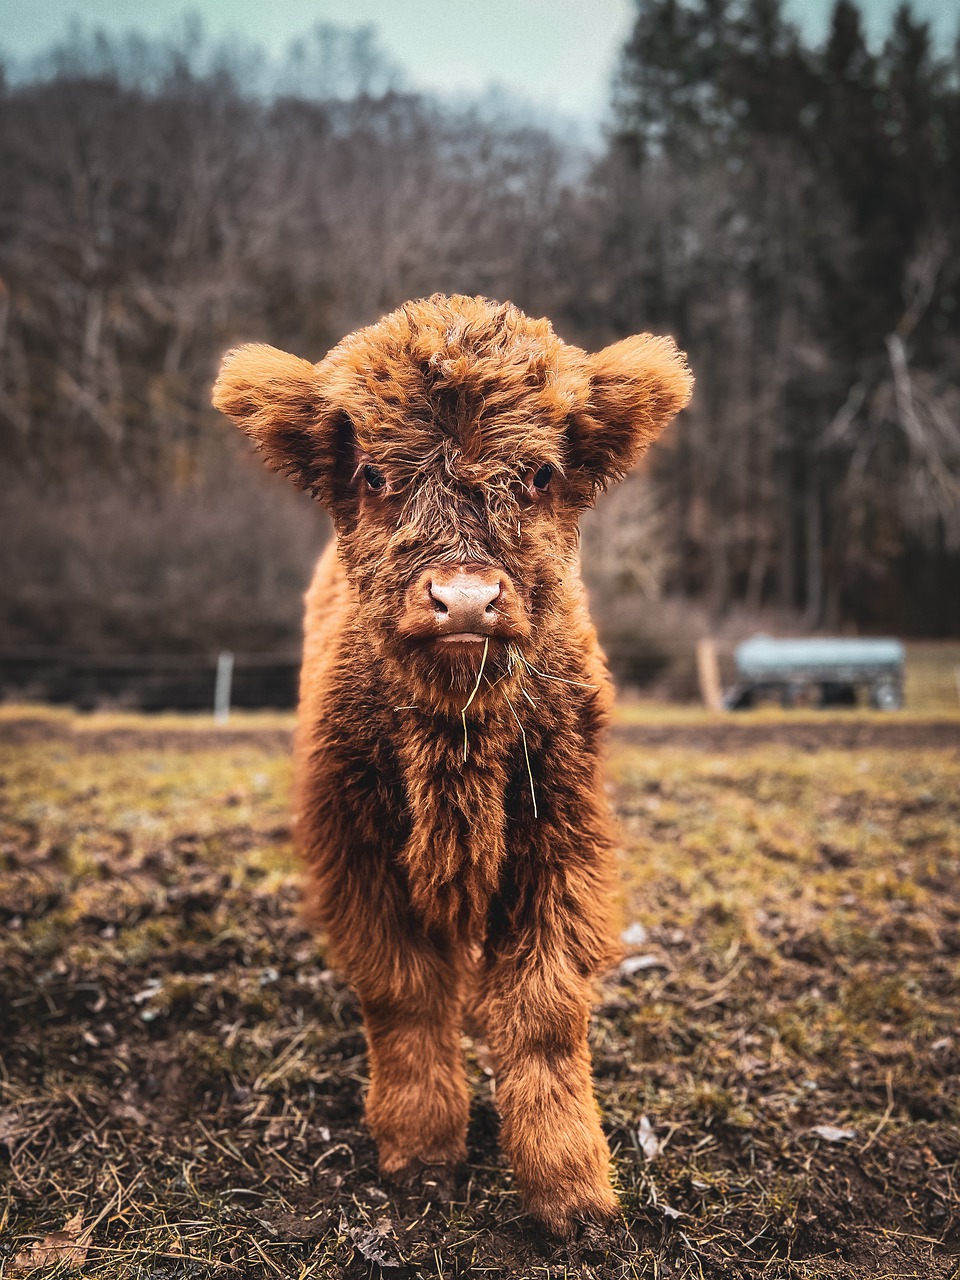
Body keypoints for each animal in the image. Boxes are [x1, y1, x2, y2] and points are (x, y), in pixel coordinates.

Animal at [212, 294, 693, 1234]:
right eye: (371, 473)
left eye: (540, 474)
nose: (463, 598)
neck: (456, 749)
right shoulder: (357, 845)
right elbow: (405, 995)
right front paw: (421, 1150)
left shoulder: (561, 842)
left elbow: (543, 1014)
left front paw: (571, 1190)